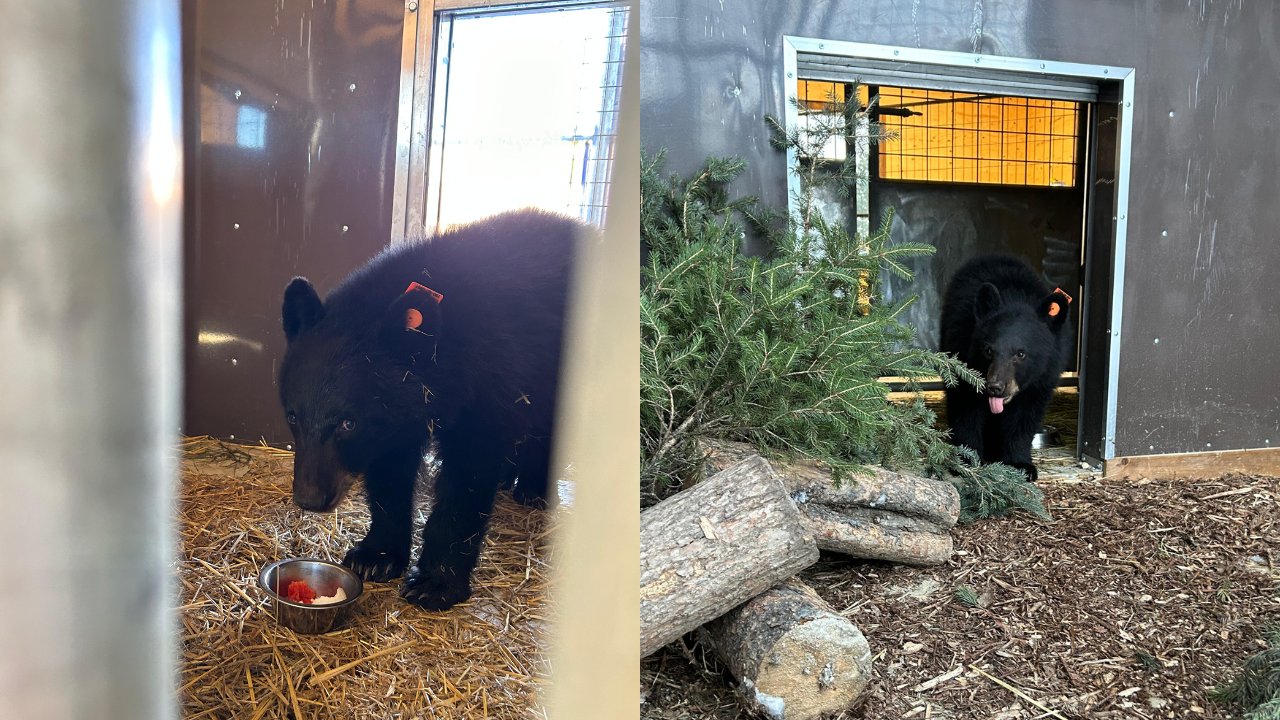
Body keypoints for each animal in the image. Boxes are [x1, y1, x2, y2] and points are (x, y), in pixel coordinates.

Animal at [277, 208, 583, 610]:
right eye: (293, 416)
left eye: (347, 423)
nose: (310, 499)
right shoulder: (396, 415)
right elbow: (390, 472)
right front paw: (375, 556)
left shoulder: (489, 384)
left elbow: (467, 477)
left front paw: (434, 582)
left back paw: (533, 488)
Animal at [939, 254, 1072, 482]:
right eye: (988, 350)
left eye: (1021, 353)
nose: (995, 387)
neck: (1015, 299)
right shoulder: (961, 350)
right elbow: (965, 405)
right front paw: (967, 458)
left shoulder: (1043, 377)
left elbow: (1024, 417)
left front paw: (1021, 465)